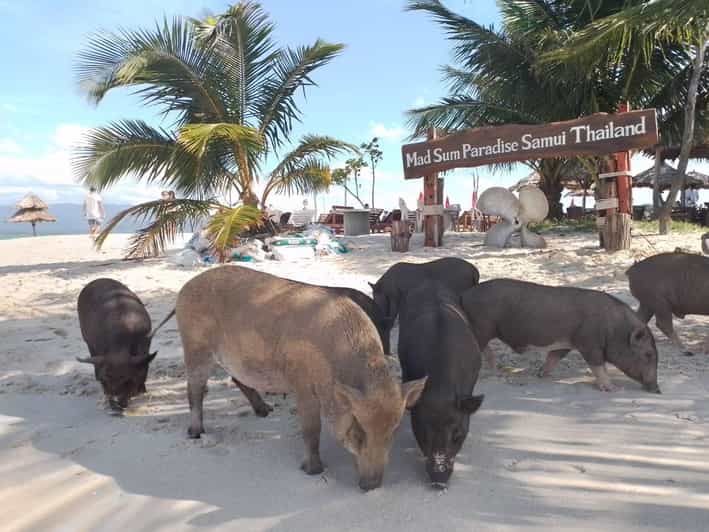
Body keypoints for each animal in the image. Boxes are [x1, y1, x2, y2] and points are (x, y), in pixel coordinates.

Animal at [76, 278, 165, 412]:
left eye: (127, 380)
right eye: (105, 379)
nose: (116, 406)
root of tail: (96, 280)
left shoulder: (145, 347)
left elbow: (143, 369)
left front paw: (142, 391)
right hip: (87, 340)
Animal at [176, 266, 427, 491]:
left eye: (393, 431)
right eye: (358, 430)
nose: (372, 486)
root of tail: (186, 286)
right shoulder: (302, 384)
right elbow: (311, 429)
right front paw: (313, 471)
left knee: (238, 379)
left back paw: (265, 412)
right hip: (194, 345)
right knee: (195, 388)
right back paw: (196, 433)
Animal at [460, 279, 660, 393]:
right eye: (648, 354)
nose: (657, 390)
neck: (614, 329)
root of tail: (466, 294)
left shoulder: (566, 344)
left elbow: (554, 357)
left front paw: (541, 374)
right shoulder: (589, 344)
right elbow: (598, 365)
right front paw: (614, 389)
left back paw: (498, 370)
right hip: (482, 326)